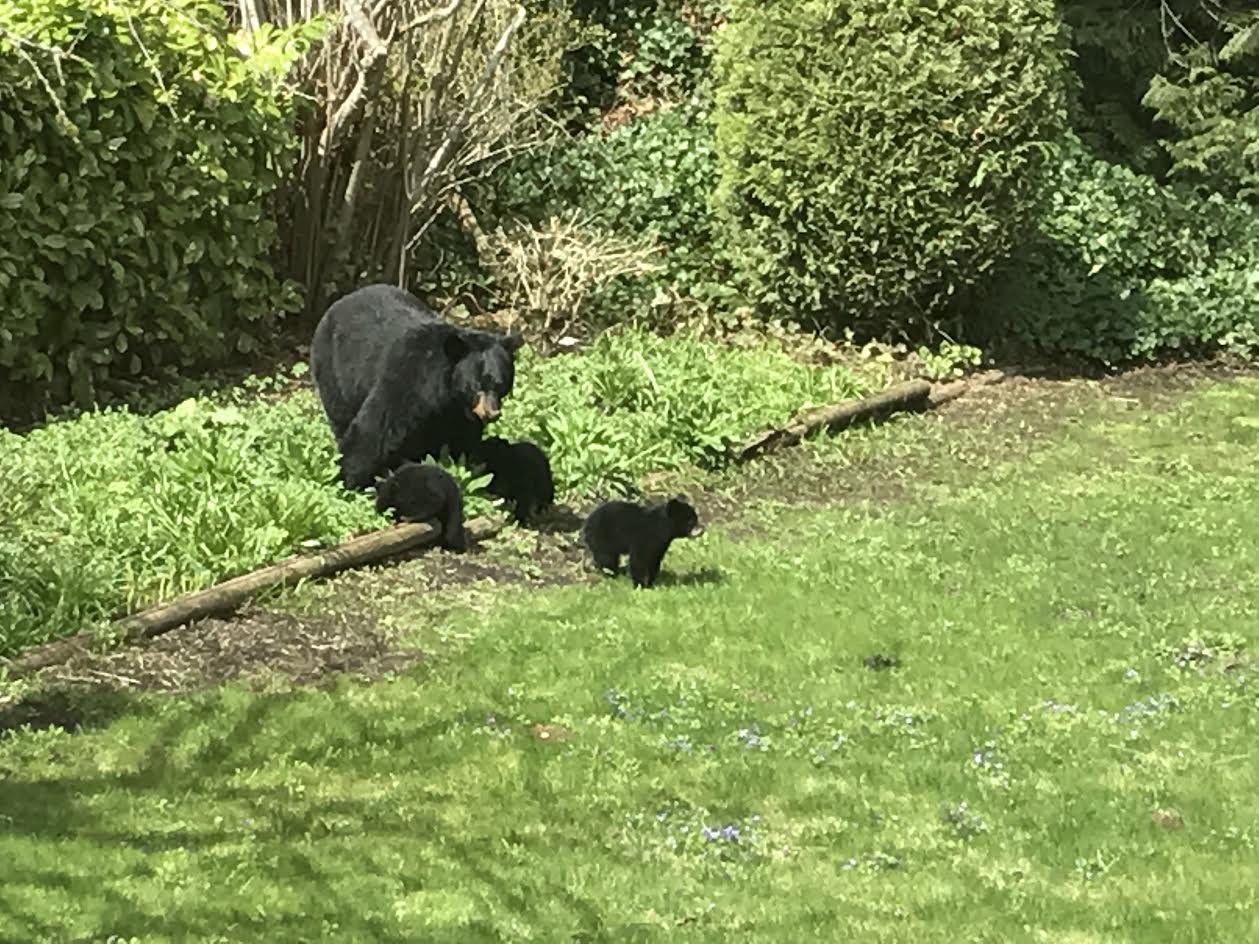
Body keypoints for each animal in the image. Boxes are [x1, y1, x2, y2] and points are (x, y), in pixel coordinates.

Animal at [310, 283, 523, 490]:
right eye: (478, 384)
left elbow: (461, 441)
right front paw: (346, 478)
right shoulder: (409, 376)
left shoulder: (457, 413)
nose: (492, 413)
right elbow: (376, 426)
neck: (446, 389)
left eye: (501, 385)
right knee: (341, 415)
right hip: (334, 370)